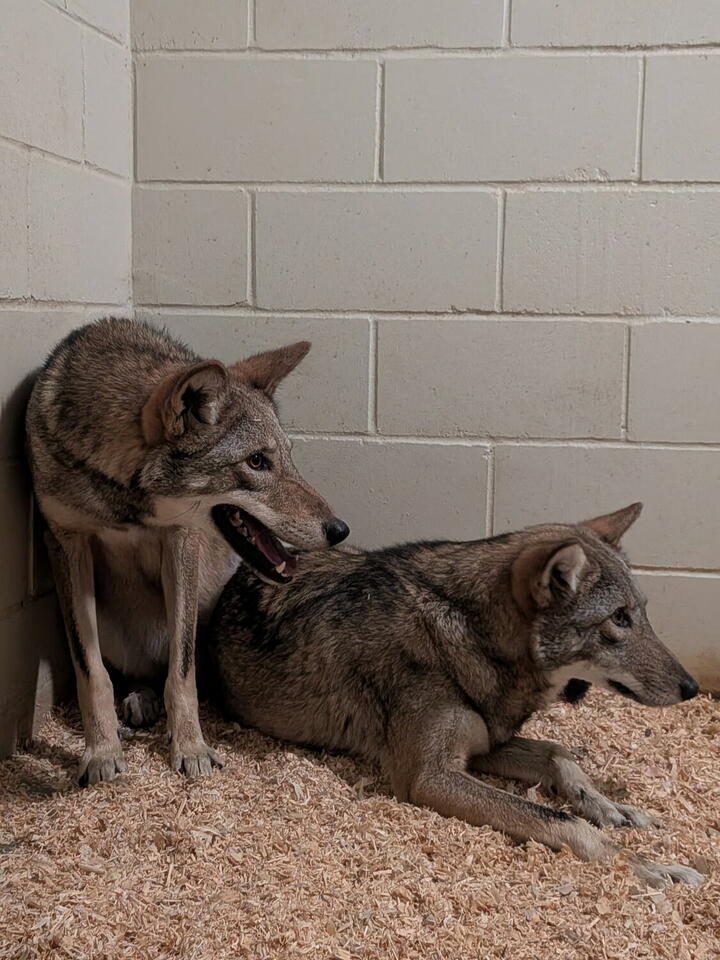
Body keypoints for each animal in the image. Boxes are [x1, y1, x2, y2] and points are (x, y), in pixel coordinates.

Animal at [26, 317, 348, 785]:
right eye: (256, 461)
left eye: (289, 458)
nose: (340, 529)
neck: (129, 505)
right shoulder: (65, 543)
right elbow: (92, 672)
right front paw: (101, 753)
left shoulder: (180, 539)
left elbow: (182, 671)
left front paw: (191, 749)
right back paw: (137, 702)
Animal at [209, 503, 703, 888]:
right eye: (619, 619)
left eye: (642, 613)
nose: (693, 688)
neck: (468, 634)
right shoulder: (430, 776)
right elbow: (564, 822)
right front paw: (643, 864)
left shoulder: (485, 743)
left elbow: (559, 755)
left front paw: (615, 809)